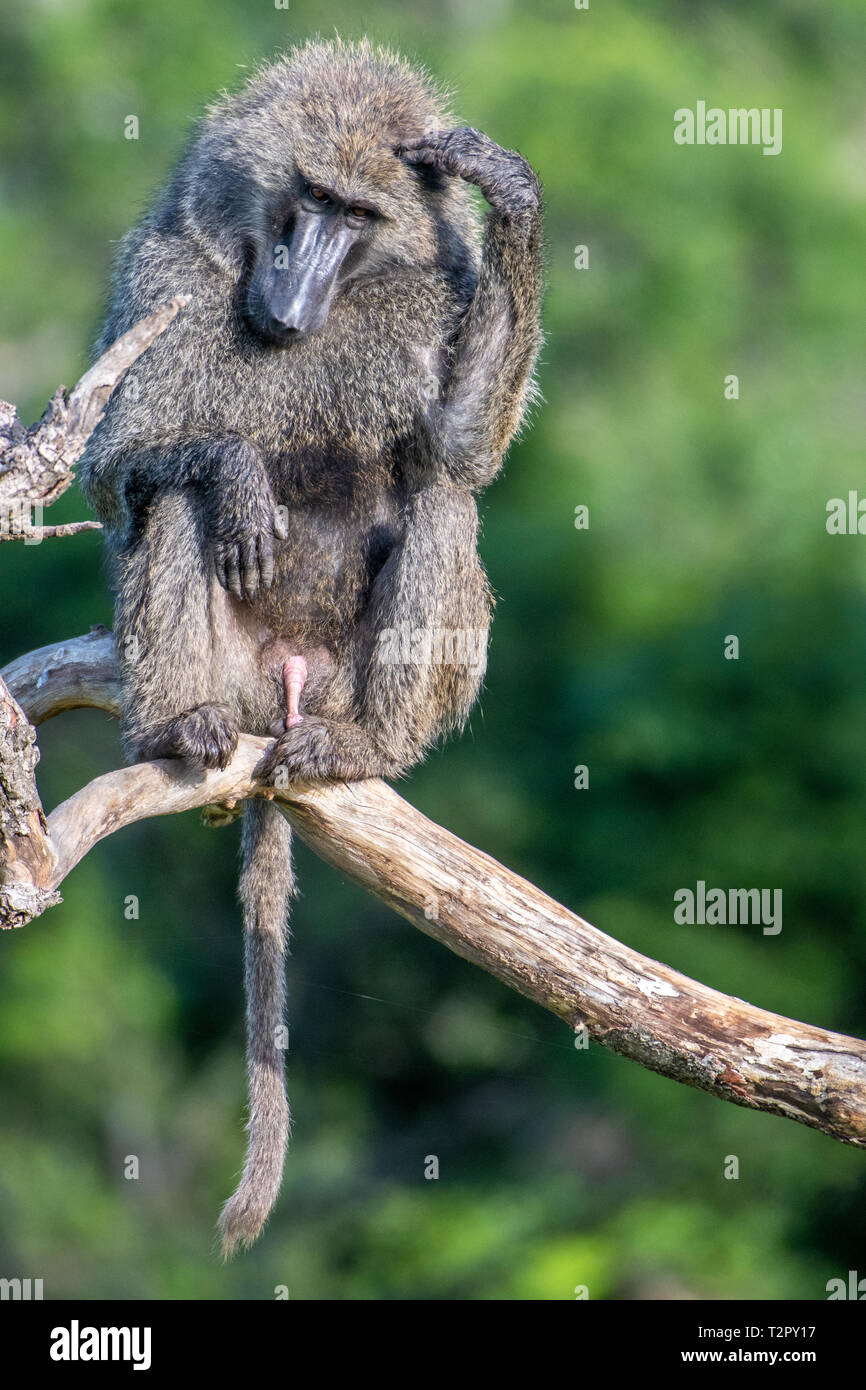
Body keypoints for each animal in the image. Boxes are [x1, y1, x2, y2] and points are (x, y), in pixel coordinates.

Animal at [79, 38, 543, 1257]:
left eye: (358, 214)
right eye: (305, 199)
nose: (288, 297)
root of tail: (286, 697)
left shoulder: (443, 297)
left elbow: (460, 452)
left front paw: (507, 191)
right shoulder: (161, 280)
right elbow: (116, 469)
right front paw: (236, 468)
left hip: (356, 683)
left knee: (440, 503)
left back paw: (362, 747)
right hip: (238, 675)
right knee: (173, 506)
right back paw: (180, 725)